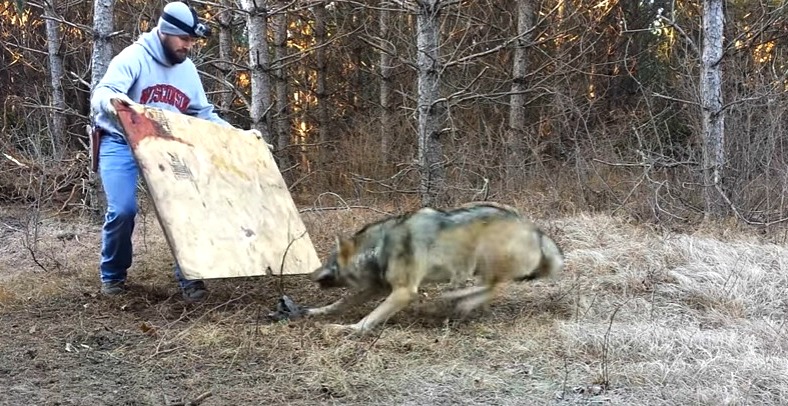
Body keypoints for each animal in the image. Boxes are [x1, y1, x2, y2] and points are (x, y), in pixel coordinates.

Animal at [305, 201, 564, 334]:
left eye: (327, 262)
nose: (309, 274)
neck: (379, 247)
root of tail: (534, 228)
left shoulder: (403, 292)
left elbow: (368, 319)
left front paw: (347, 329)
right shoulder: (379, 288)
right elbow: (341, 302)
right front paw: (316, 312)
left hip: (483, 254)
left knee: (495, 286)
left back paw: (453, 299)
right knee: (489, 288)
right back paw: (460, 302)